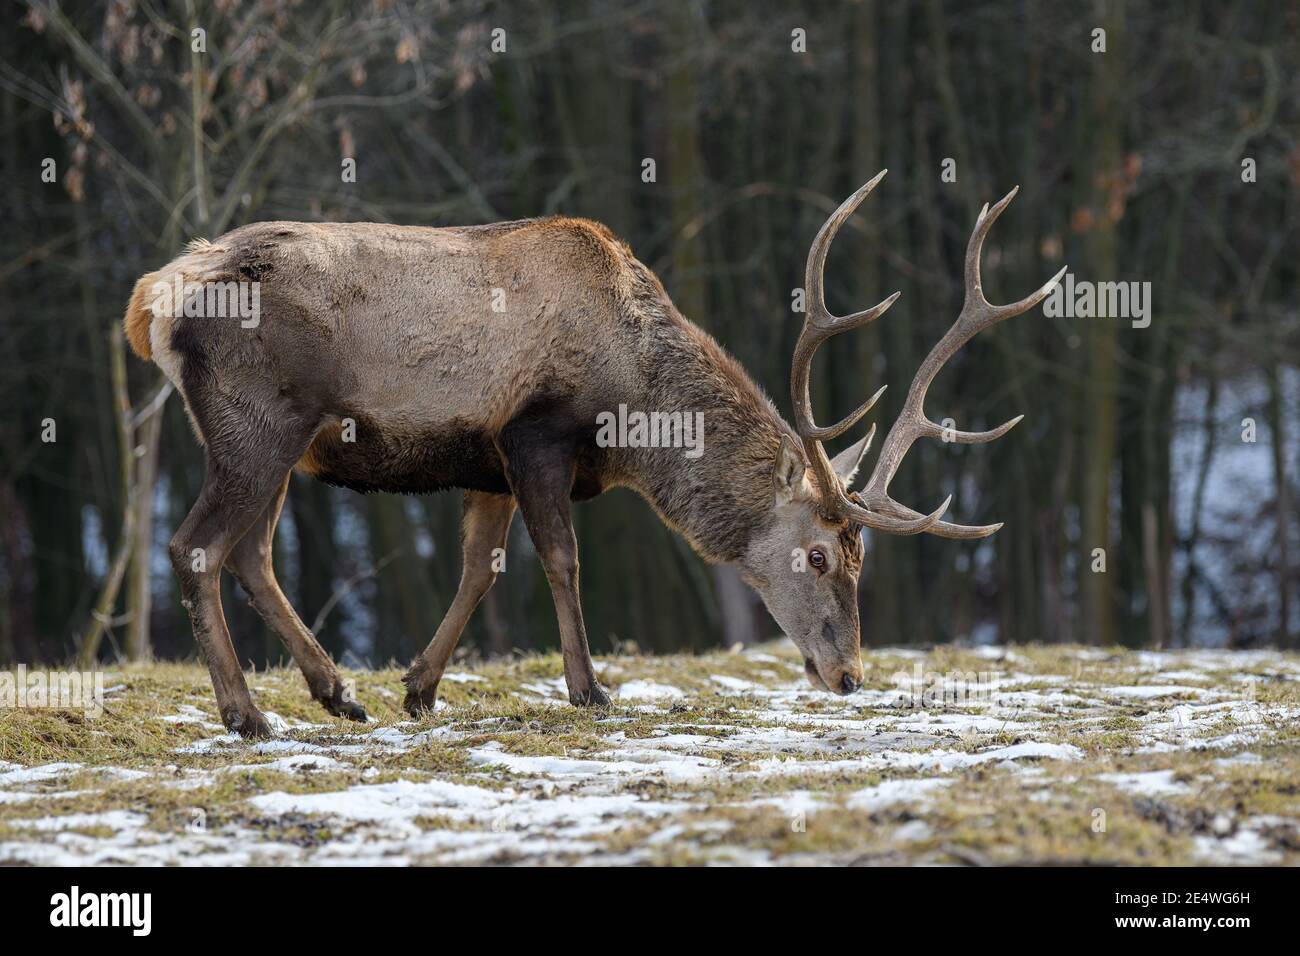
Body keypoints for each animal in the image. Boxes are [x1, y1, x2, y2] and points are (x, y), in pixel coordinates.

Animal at [122, 170, 1063, 738]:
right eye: (821, 554)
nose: (849, 676)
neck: (632, 400)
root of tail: (152, 298)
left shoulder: (486, 462)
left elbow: (479, 568)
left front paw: (419, 688)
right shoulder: (537, 434)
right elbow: (563, 560)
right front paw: (589, 688)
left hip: (281, 442)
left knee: (249, 552)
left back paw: (336, 691)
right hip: (256, 420)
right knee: (195, 545)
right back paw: (246, 714)